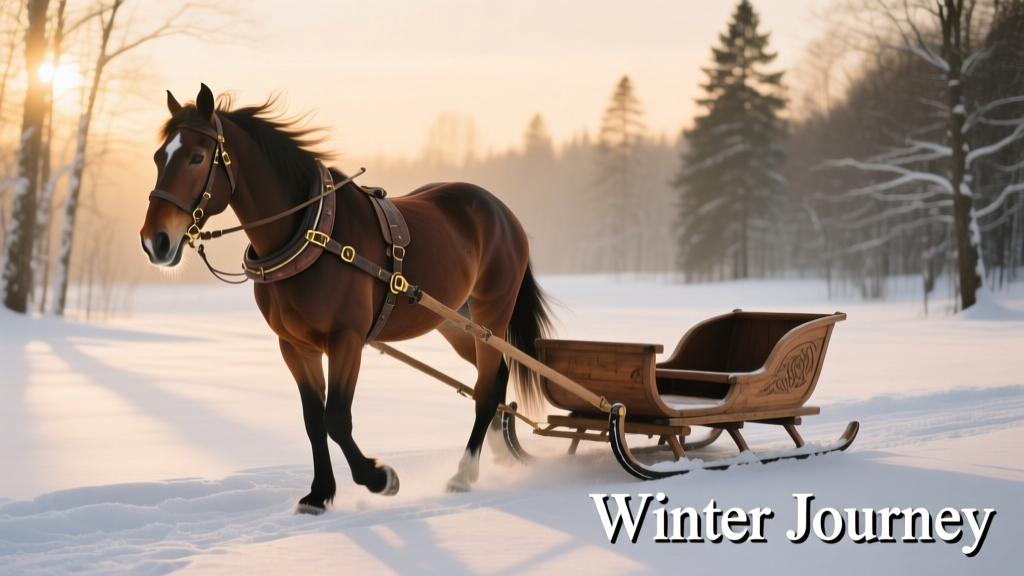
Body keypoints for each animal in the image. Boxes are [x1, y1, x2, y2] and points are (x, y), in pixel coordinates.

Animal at [139, 84, 551, 514]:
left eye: (197, 157)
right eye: (158, 157)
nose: (155, 241)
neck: (312, 236)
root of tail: (500, 210)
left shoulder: (346, 339)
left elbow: (336, 418)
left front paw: (378, 478)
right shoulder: (294, 345)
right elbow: (313, 420)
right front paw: (319, 493)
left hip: (490, 316)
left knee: (487, 387)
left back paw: (464, 473)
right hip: (455, 321)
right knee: (496, 376)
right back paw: (498, 451)